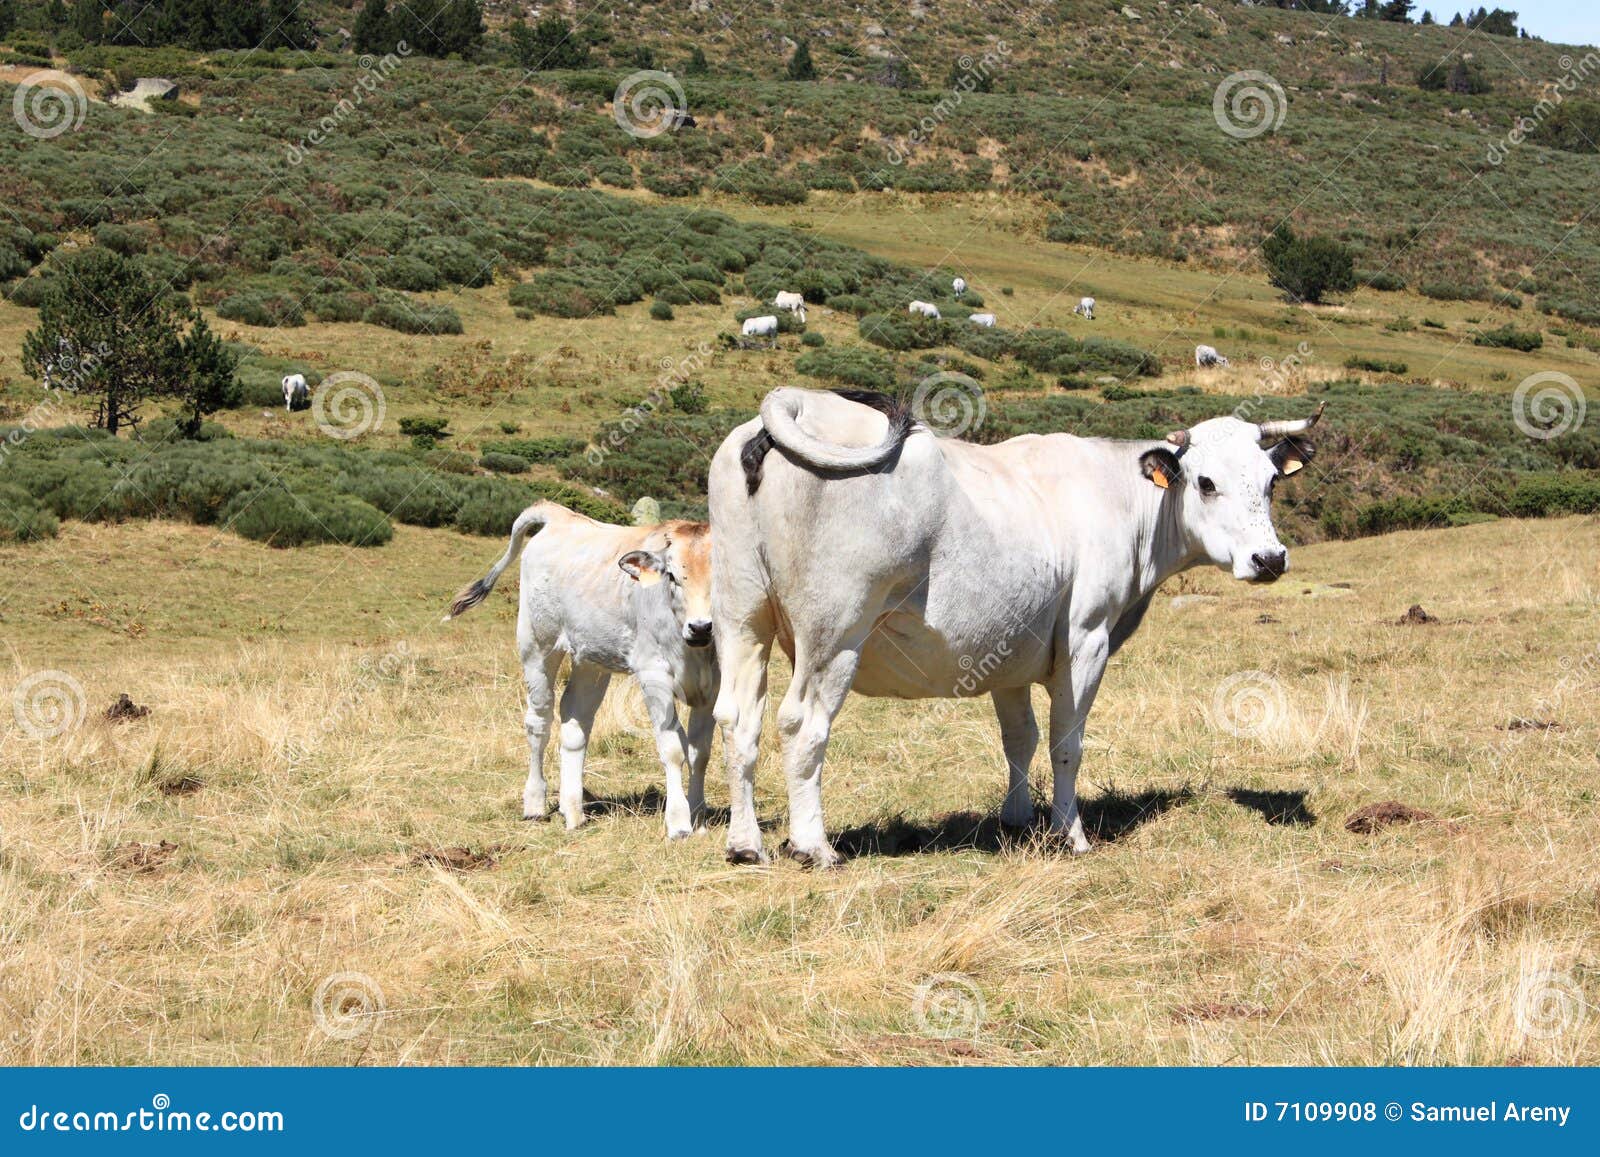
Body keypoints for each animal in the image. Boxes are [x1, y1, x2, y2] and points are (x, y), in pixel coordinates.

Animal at [444, 502, 719, 840]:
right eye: (671, 576)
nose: (701, 627)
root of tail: (560, 516)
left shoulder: (713, 686)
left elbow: (700, 753)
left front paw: (699, 818)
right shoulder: (653, 675)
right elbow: (673, 748)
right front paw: (679, 823)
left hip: (590, 661)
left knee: (575, 721)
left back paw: (572, 810)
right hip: (537, 646)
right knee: (539, 722)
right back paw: (535, 803)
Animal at [707, 388, 1323, 867]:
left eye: (1271, 481)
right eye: (1205, 482)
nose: (1269, 559)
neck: (1122, 498)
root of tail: (798, 401)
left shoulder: (1009, 651)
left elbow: (1019, 738)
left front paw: (1017, 818)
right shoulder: (1086, 639)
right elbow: (1065, 743)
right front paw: (1069, 834)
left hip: (741, 618)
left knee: (737, 718)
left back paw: (745, 844)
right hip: (834, 634)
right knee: (801, 724)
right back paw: (812, 845)